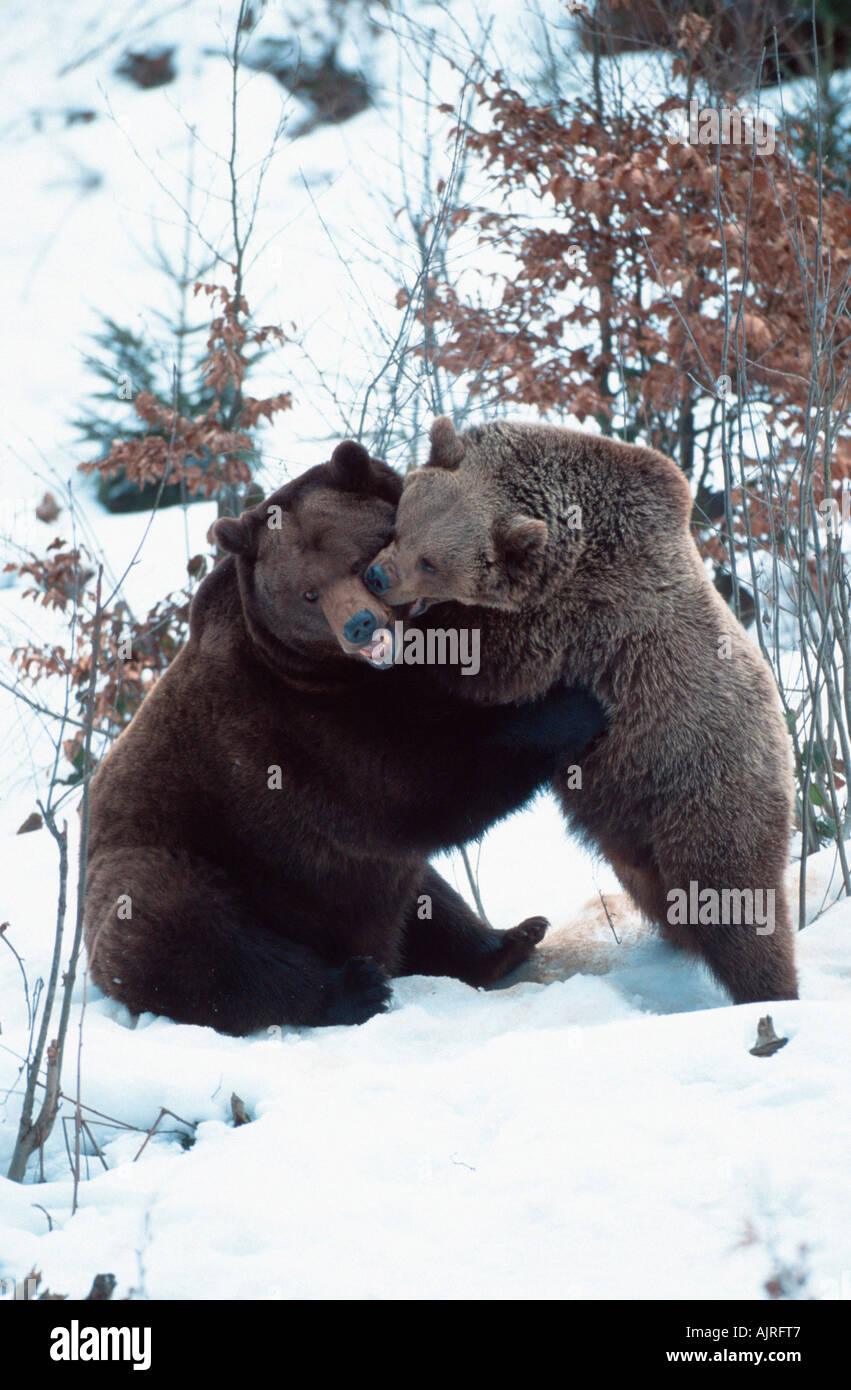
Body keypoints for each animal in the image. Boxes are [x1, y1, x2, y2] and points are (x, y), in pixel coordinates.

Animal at [83, 439, 606, 1036]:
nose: (359, 625)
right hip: (189, 862)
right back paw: (352, 988)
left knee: (426, 895)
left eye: (360, 562)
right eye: (308, 593)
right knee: (184, 931)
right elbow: (416, 783)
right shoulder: (289, 729)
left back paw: (509, 939)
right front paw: (573, 706)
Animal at [354, 416, 798, 1006]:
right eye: (402, 525)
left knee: (735, 906)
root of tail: (786, 754)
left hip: (705, 791)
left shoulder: (579, 623)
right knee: (664, 896)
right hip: (635, 830)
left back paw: (769, 989)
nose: (379, 577)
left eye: (432, 561)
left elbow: (485, 664)